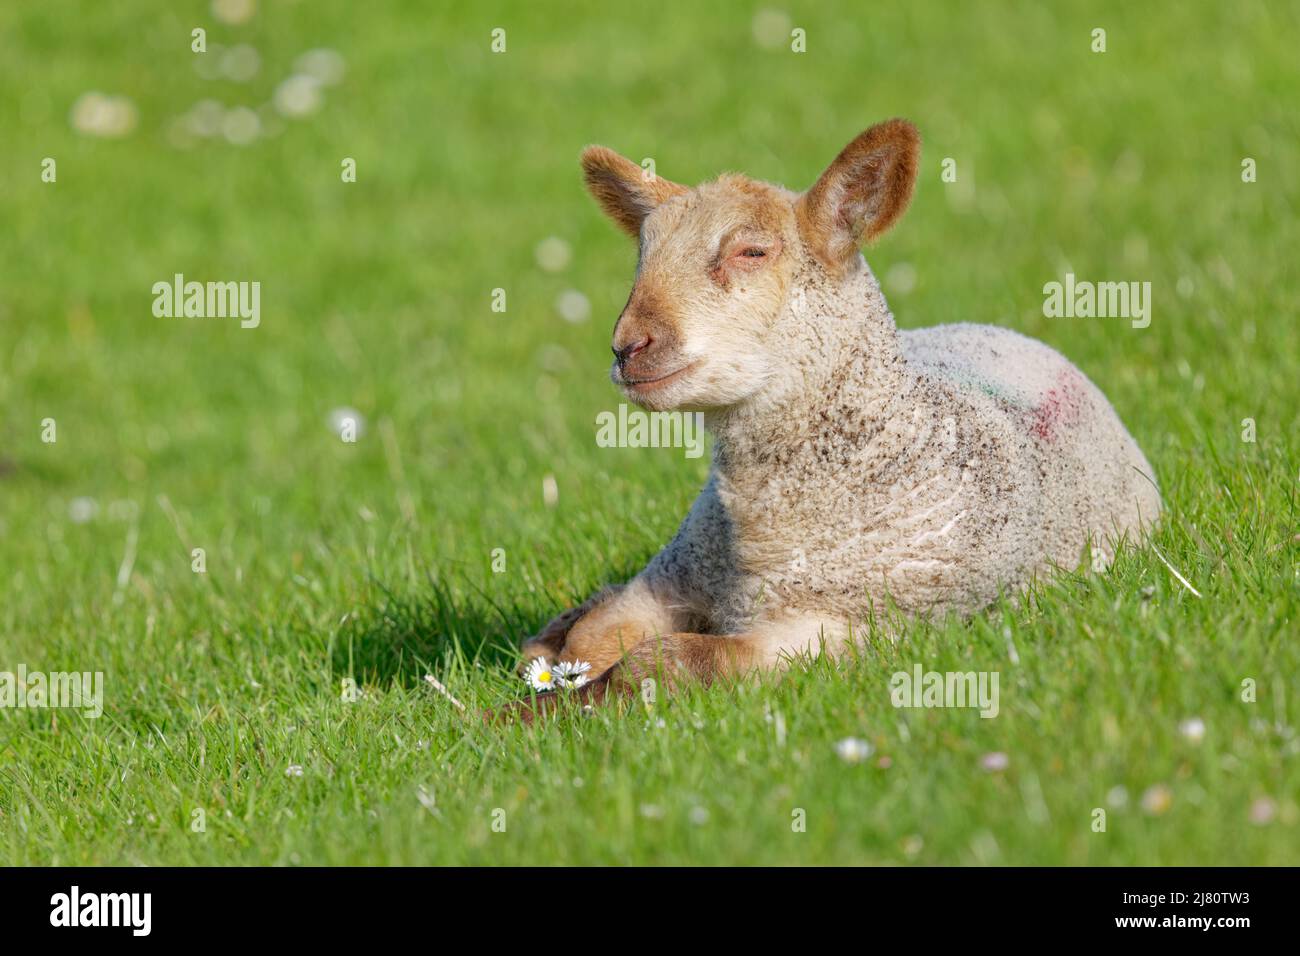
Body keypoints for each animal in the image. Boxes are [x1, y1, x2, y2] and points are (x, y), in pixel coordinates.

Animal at [514, 119, 1160, 714]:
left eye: (751, 251)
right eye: (642, 257)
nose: (628, 346)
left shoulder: (851, 625)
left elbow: (662, 663)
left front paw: (537, 715)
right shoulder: (671, 575)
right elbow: (589, 640)